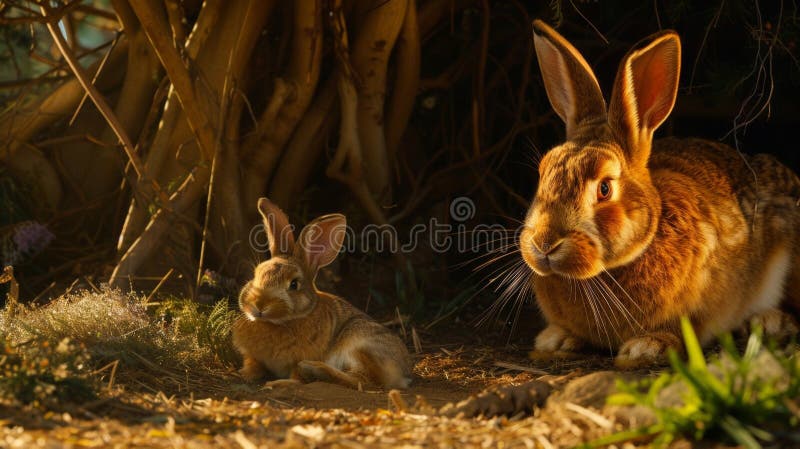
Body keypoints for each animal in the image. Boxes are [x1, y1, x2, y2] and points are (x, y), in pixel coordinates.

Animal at [232, 198, 412, 388]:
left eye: (294, 284)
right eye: (255, 274)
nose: (259, 304)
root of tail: (404, 373)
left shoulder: (300, 357)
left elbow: (297, 378)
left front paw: (279, 383)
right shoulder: (254, 358)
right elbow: (253, 365)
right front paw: (242, 374)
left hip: (360, 343)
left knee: (364, 381)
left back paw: (314, 369)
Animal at [521, 20, 800, 368]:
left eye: (604, 188)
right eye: (543, 173)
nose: (544, 244)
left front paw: (646, 347)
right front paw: (555, 339)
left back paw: (768, 322)